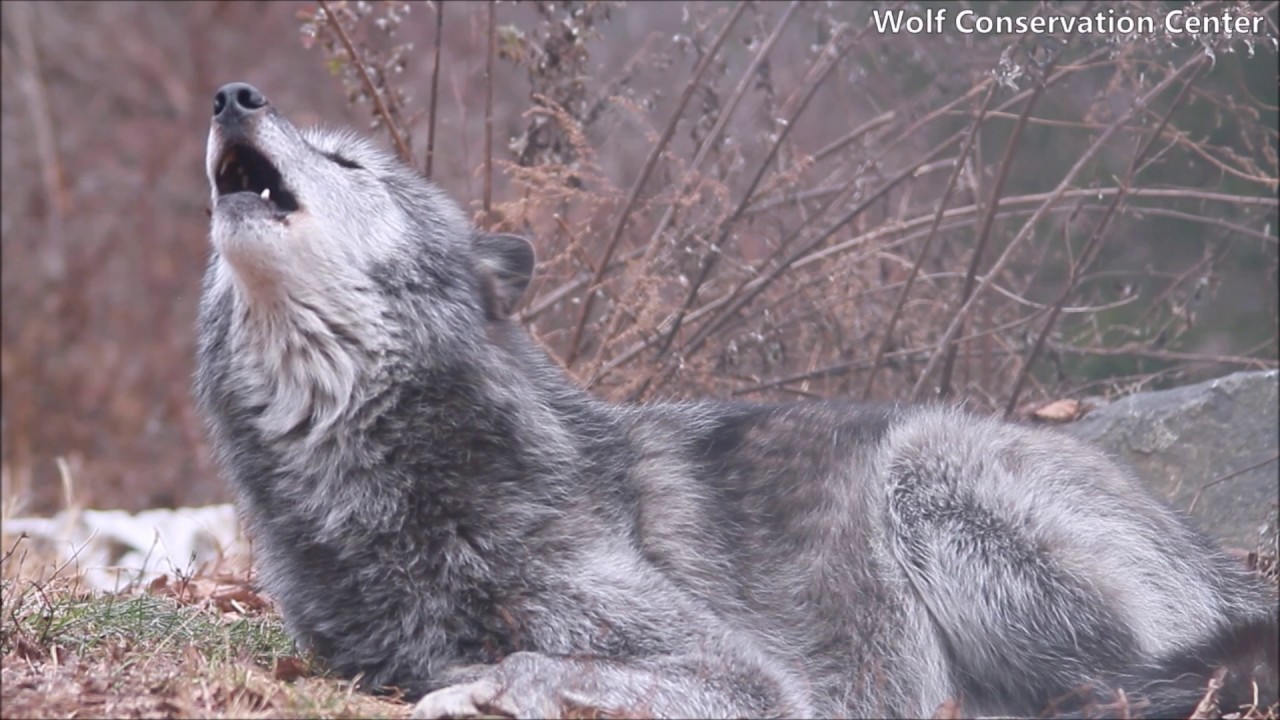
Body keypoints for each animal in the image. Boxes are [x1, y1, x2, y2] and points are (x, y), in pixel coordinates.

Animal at [194, 82, 1278, 719]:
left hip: (932, 488)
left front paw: (482, 690)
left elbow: (549, 665)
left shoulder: (742, 677)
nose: (234, 95)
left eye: (348, 163)